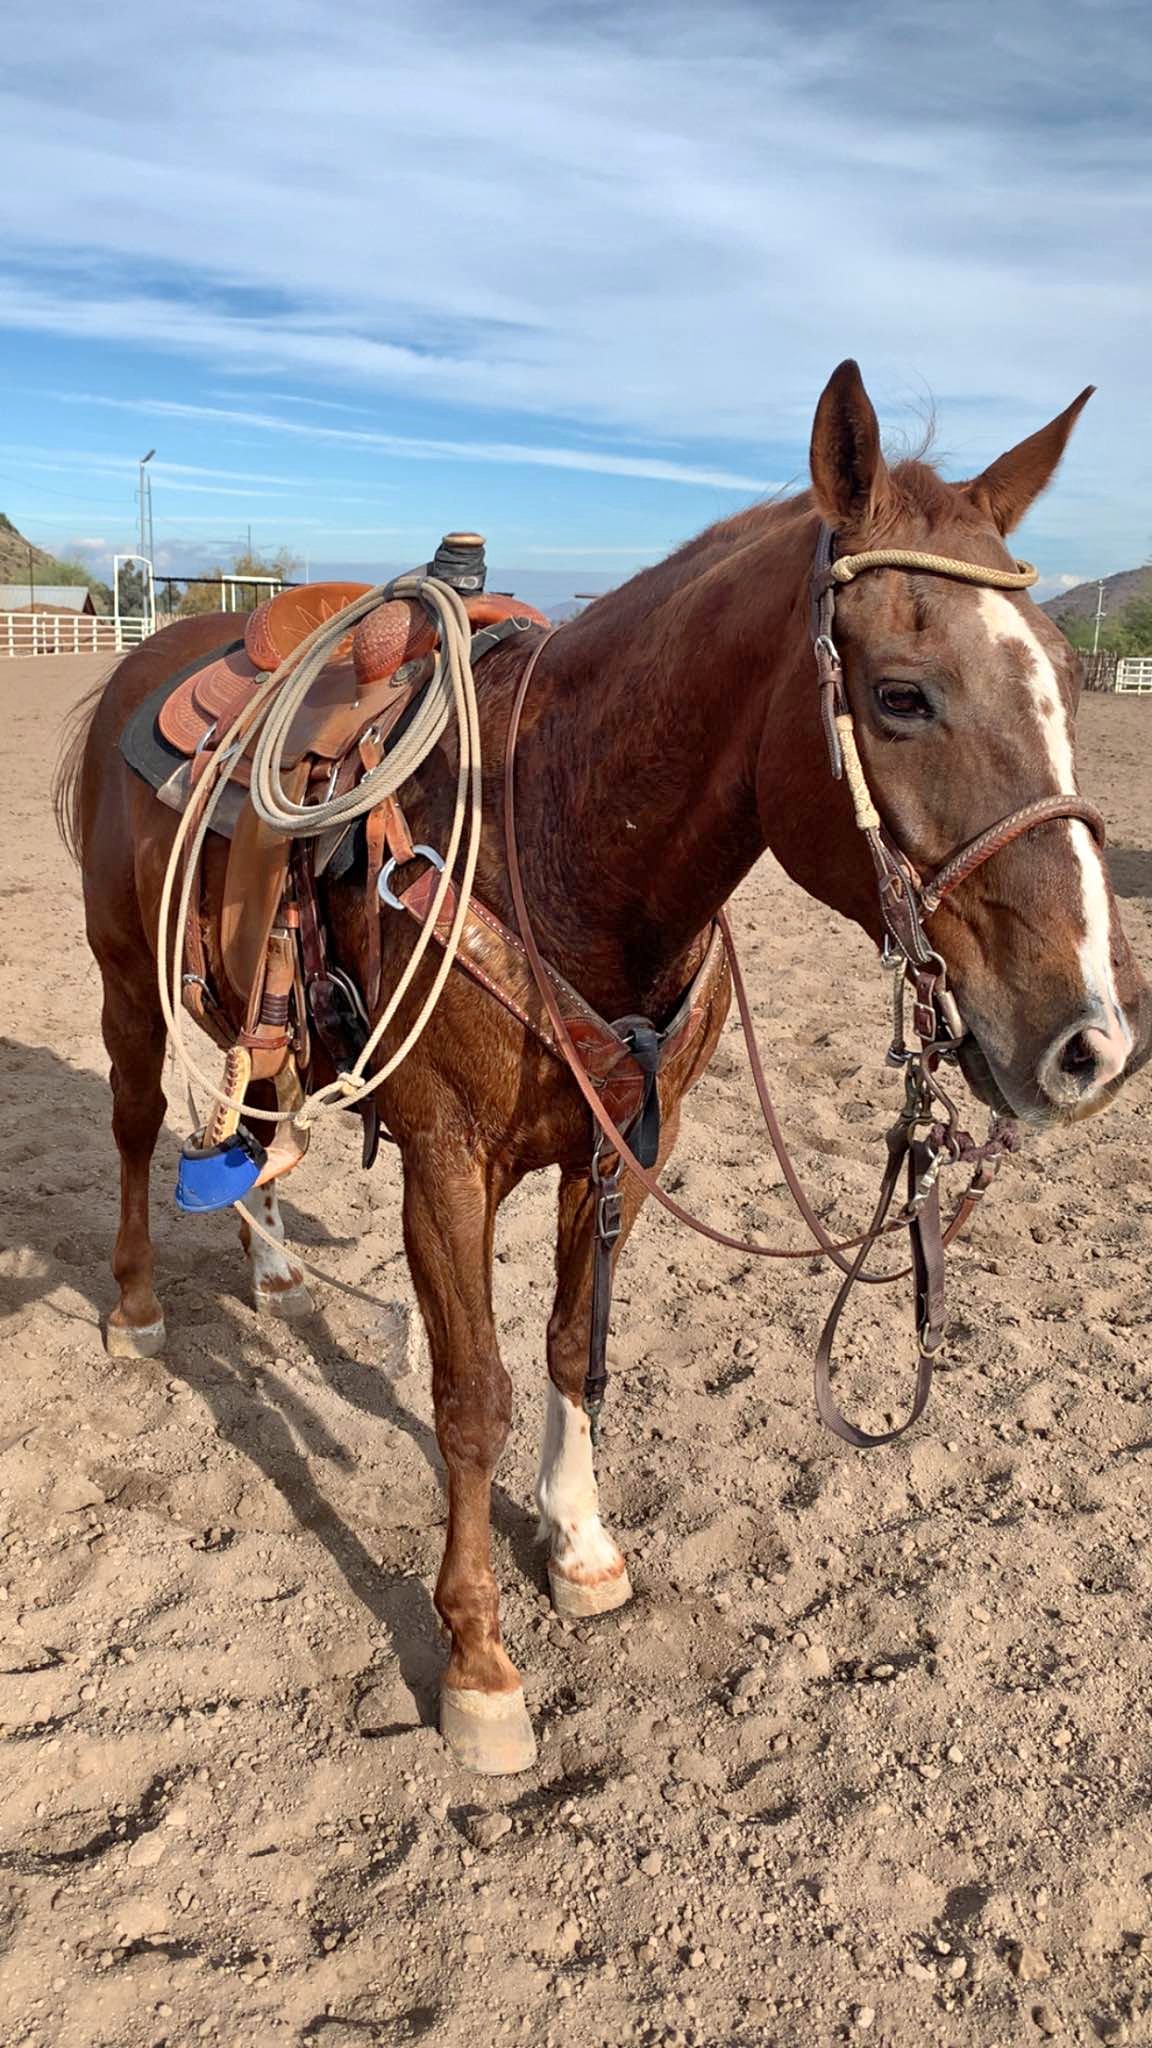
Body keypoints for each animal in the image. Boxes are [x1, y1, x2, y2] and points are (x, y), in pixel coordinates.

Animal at [56, 360, 1150, 1774]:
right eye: (903, 693)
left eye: (1068, 679)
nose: (1094, 1035)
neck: (556, 831)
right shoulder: (446, 1165)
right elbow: (472, 1394)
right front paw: (478, 1660)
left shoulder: (628, 1139)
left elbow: (576, 1347)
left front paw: (578, 1544)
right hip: (124, 978)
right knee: (141, 1122)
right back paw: (137, 1303)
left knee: (255, 1116)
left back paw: (277, 1263)